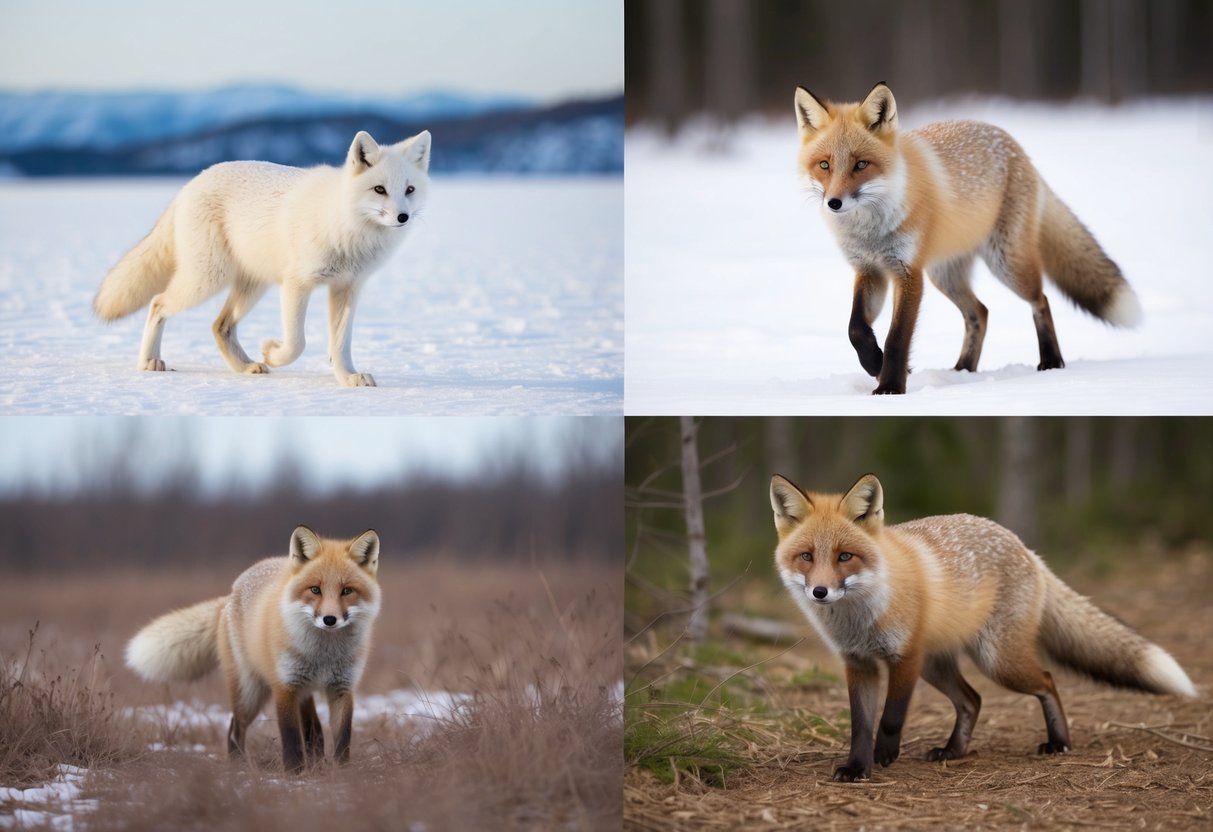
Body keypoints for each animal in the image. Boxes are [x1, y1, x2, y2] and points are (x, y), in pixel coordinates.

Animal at [94, 130, 432, 387]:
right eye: (379, 189)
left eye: (409, 190)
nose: (402, 217)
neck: (344, 226)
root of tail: (191, 183)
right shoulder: (297, 284)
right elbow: (297, 342)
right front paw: (272, 352)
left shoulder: (347, 288)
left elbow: (340, 344)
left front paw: (348, 377)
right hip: (207, 280)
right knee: (157, 303)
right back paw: (148, 361)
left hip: (252, 286)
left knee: (219, 326)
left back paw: (244, 367)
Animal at [125, 526, 382, 772]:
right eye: (315, 590)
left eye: (347, 591)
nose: (330, 620)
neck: (323, 656)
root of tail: (231, 593)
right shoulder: (284, 687)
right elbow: (291, 739)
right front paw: (295, 774)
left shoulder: (342, 688)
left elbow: (342, 740)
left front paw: (342, 773)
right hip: (249, 693)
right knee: (234, 729)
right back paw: (238, 766)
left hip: (298, 691)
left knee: (313, 728)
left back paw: (316, 760)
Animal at [770, 473, 1196, 782]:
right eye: (806, 557)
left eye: (845, 557)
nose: (820, 592)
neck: (860, 617)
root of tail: (1026, 549)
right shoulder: (858, 663)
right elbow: (860, 725)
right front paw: (858, 768)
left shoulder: (905, 657)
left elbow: (890, 719)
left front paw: (885, 755)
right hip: (938, 667)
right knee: (973, 700)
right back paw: (953, 751)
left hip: (996, 661)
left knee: (1047, 680)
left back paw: (1059, 742)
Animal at [794, 82, 1141, 394]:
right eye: (825, 165)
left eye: (861, 164)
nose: (834, 203)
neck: (870, 232)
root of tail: (1013, 143)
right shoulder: (870, 271)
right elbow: (855, 329)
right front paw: (873, 364)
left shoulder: (908, 272)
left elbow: (897, 337)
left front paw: (890, 386)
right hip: (945, 274)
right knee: (979, 313)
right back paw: (963, 370)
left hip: (1006, 264)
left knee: (1040, 300)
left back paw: (1051, 362)